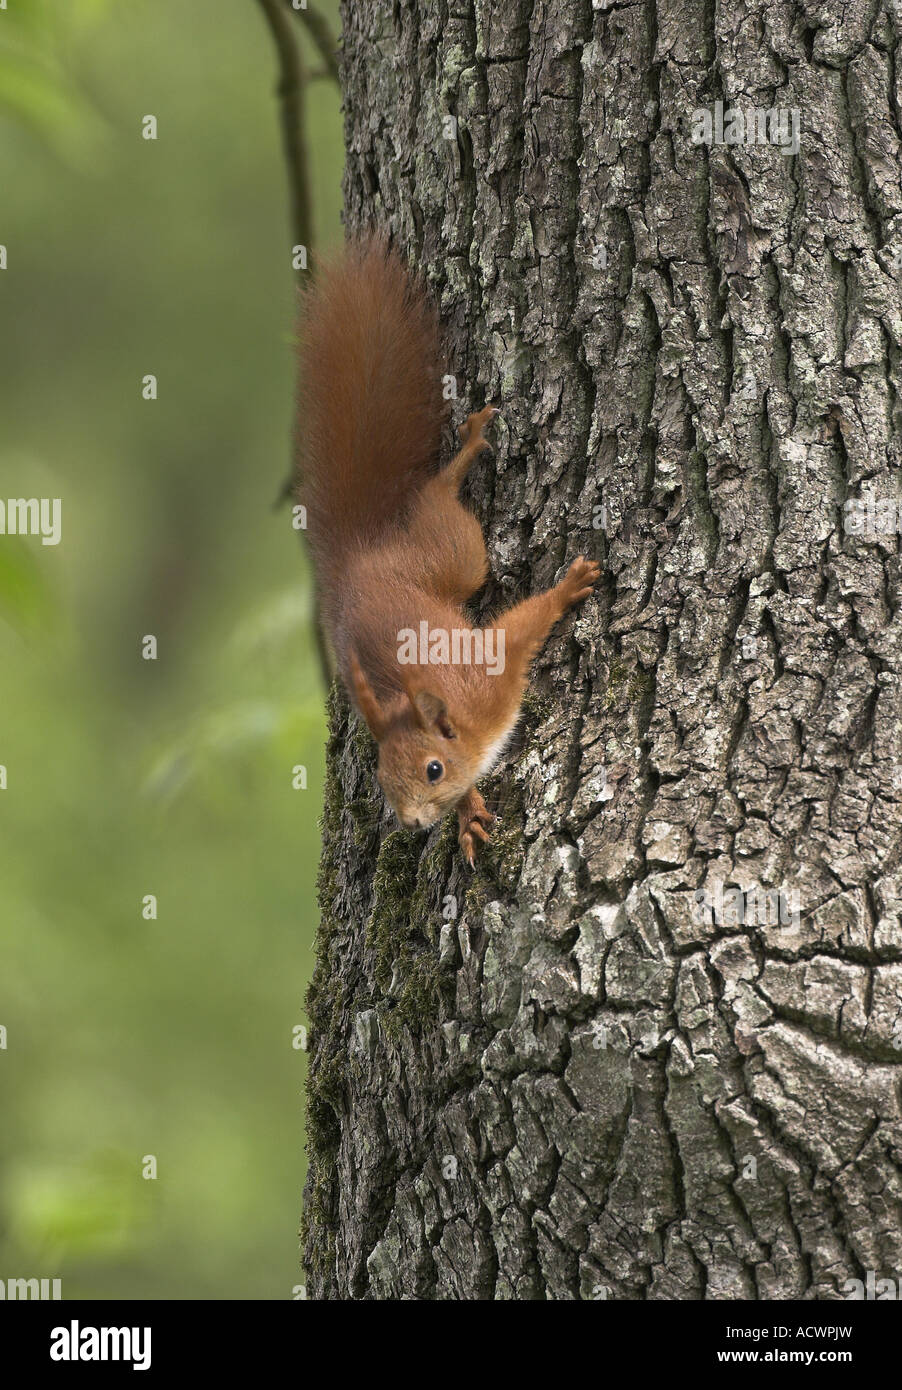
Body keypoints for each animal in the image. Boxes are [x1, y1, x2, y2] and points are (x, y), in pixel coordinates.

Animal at [295, 236, 600, 864]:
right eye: (383, 779)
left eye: (433, 769)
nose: (412, 823)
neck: (467, 726)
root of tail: (360, 560)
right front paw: (469, 816)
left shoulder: (489, 677)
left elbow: (521, 624)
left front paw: (566, 588)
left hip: (452, 556)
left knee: (438, 501)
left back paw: (463, 454)